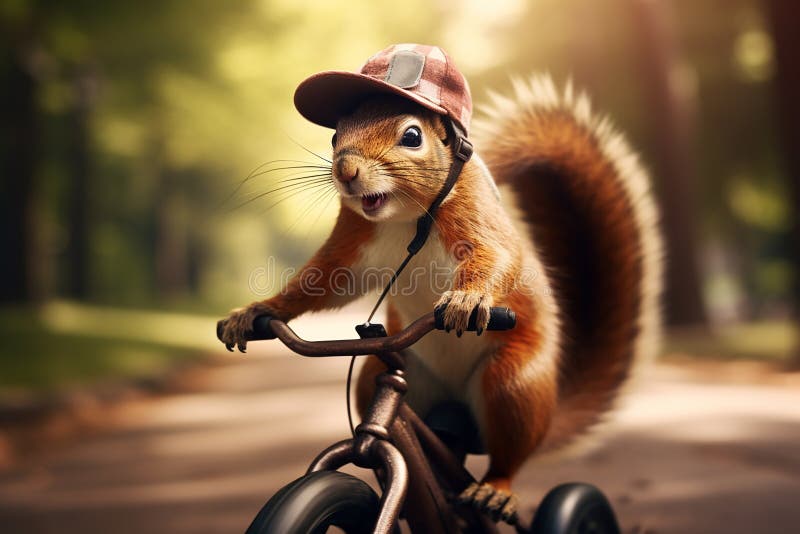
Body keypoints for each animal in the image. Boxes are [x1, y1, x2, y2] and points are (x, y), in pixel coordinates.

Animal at [218, 44, 663, 523]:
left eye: (412, 136)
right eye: (336, 137)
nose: (346, 172)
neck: (405, 217)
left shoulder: (474, 211)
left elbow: (497, 255)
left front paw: (466, 299)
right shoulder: (352, 240)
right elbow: (325, 281)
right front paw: (257, 312)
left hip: (513, 383)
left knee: (509, 453)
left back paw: (496, 490)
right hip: (391, 374)